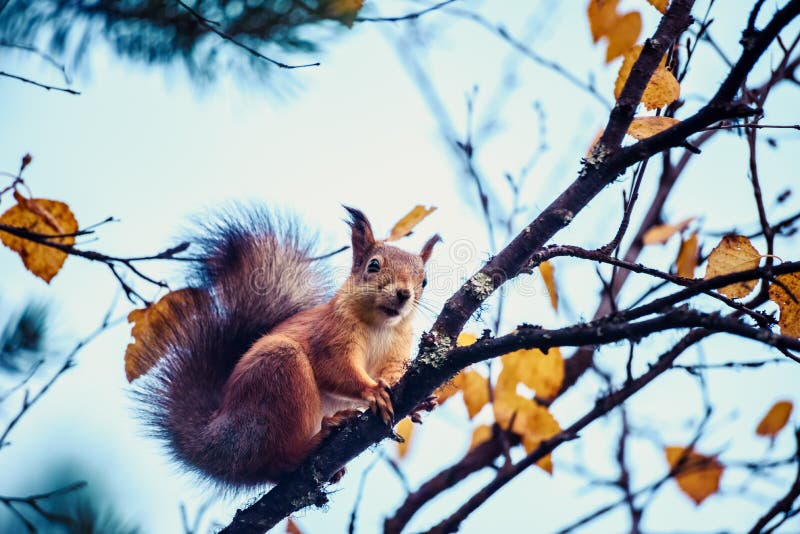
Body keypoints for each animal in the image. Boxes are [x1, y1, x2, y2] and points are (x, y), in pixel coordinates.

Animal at [134, 205, 440, 487]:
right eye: (373, 265)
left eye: (424, 280)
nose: (403, 294)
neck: (381, 326)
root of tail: (215, 439)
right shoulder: (330, 335)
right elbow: (334, 368)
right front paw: (372, 391)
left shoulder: (397, 348)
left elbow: (395, 373)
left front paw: (416, 402)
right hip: (279, 378)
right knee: (276, 461)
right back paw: (318, 439)